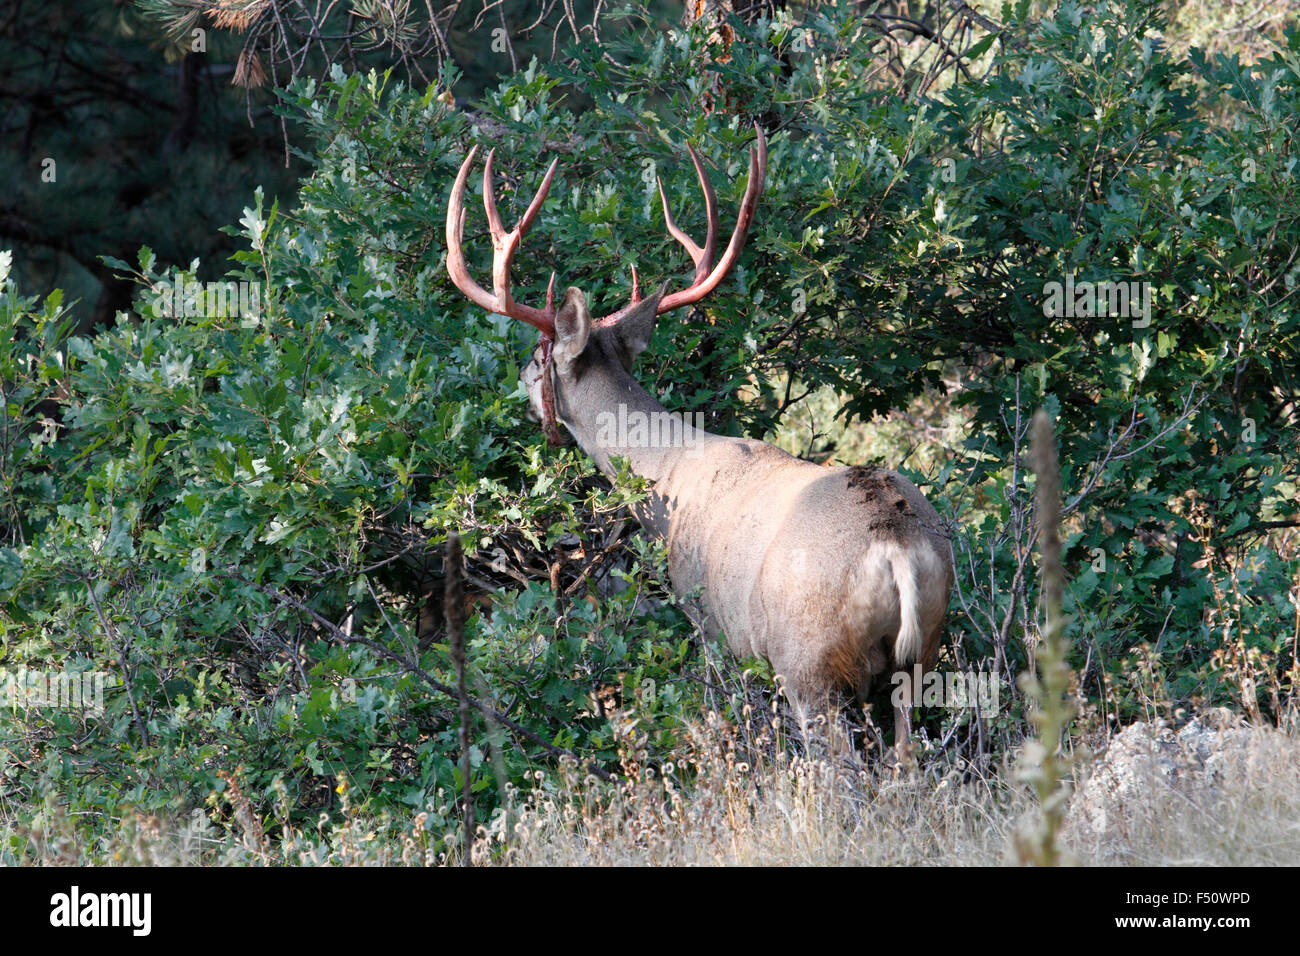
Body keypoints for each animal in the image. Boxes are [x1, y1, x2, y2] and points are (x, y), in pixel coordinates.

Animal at [444, 126, 954, 747]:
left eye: (539, 357)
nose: (519, 374)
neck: (664, 481)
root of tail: (900, 550)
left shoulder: (707, 624)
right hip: (921, 657)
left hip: (809, 664)